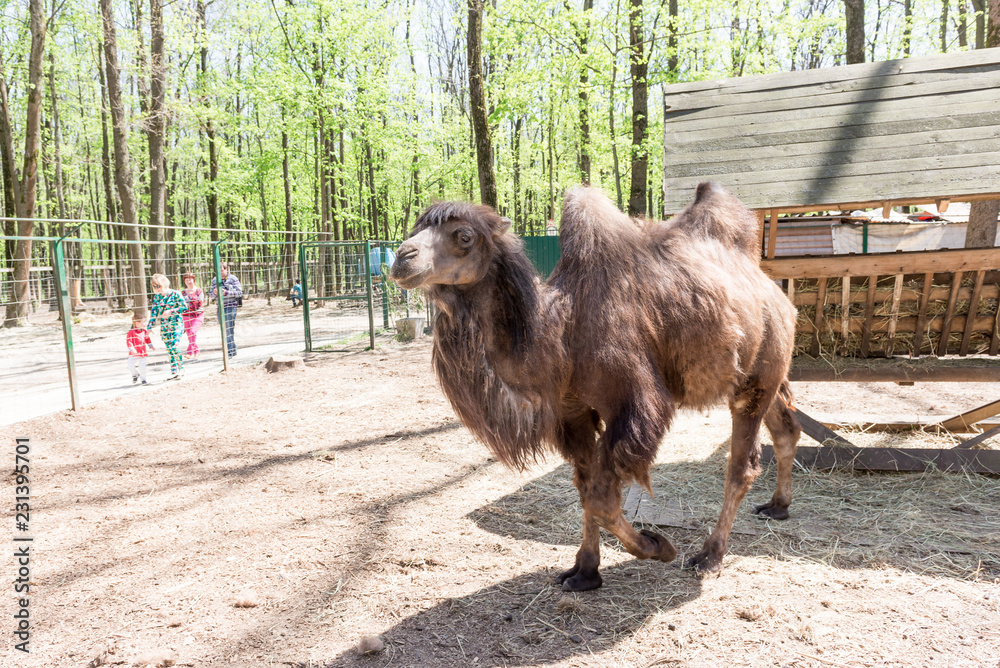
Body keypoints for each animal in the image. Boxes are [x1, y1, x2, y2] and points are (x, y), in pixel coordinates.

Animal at [390, 183, 801, 591]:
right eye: (416, 229)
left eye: (464, 236)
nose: (402, 258)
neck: (561, 331)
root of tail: (778, 295)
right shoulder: (573, 411)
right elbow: (585, 487)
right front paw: (585, 571)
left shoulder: (633, 405)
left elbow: (602, 499)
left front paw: (657, 545)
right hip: (766, 376)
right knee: (786, 428)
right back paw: (778, 506)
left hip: (755, 378)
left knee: (741, 466)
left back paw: (709, 555)